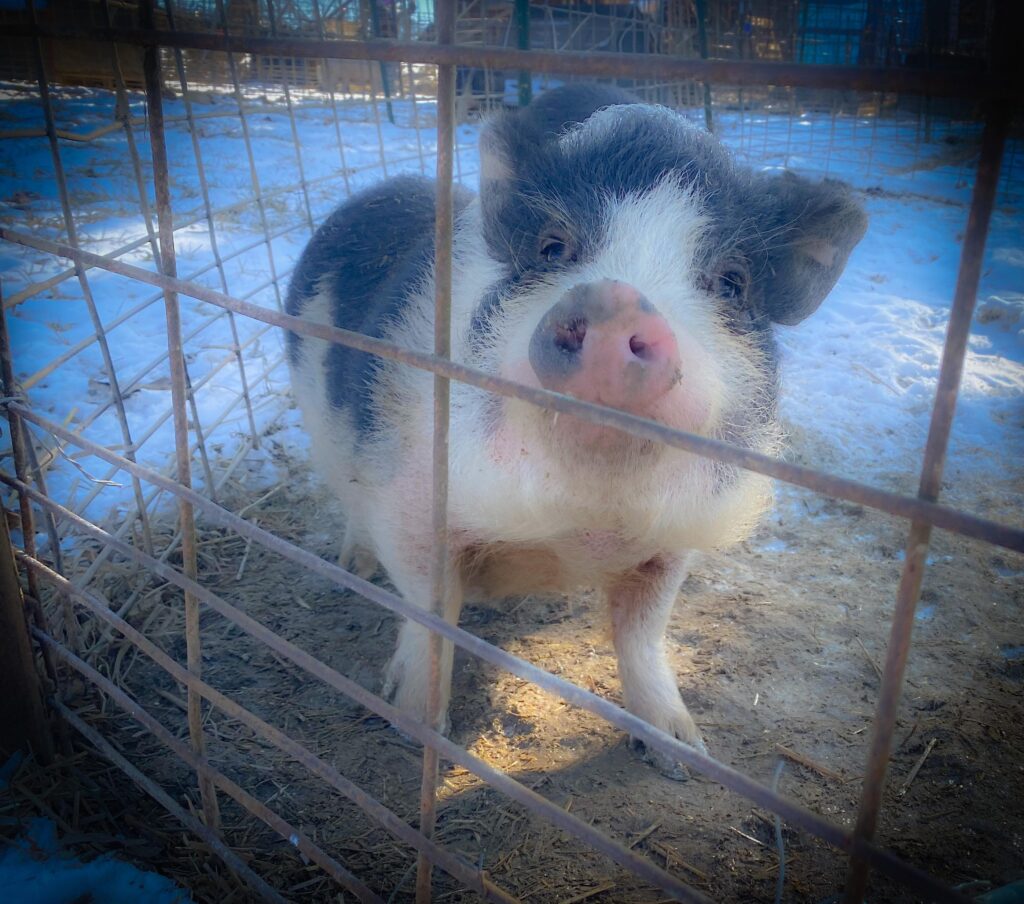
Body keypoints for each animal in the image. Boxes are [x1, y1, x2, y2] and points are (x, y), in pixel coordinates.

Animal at [285, 84, 867, 774]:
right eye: (553, 246)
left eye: (732, 282)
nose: (616, 301)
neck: (580, 521)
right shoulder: (410, 496)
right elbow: (430, 608)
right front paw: (417, 728)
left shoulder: (673, 541)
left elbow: (643, 632)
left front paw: (682, 753)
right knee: (350, 503)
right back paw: (356, 566)